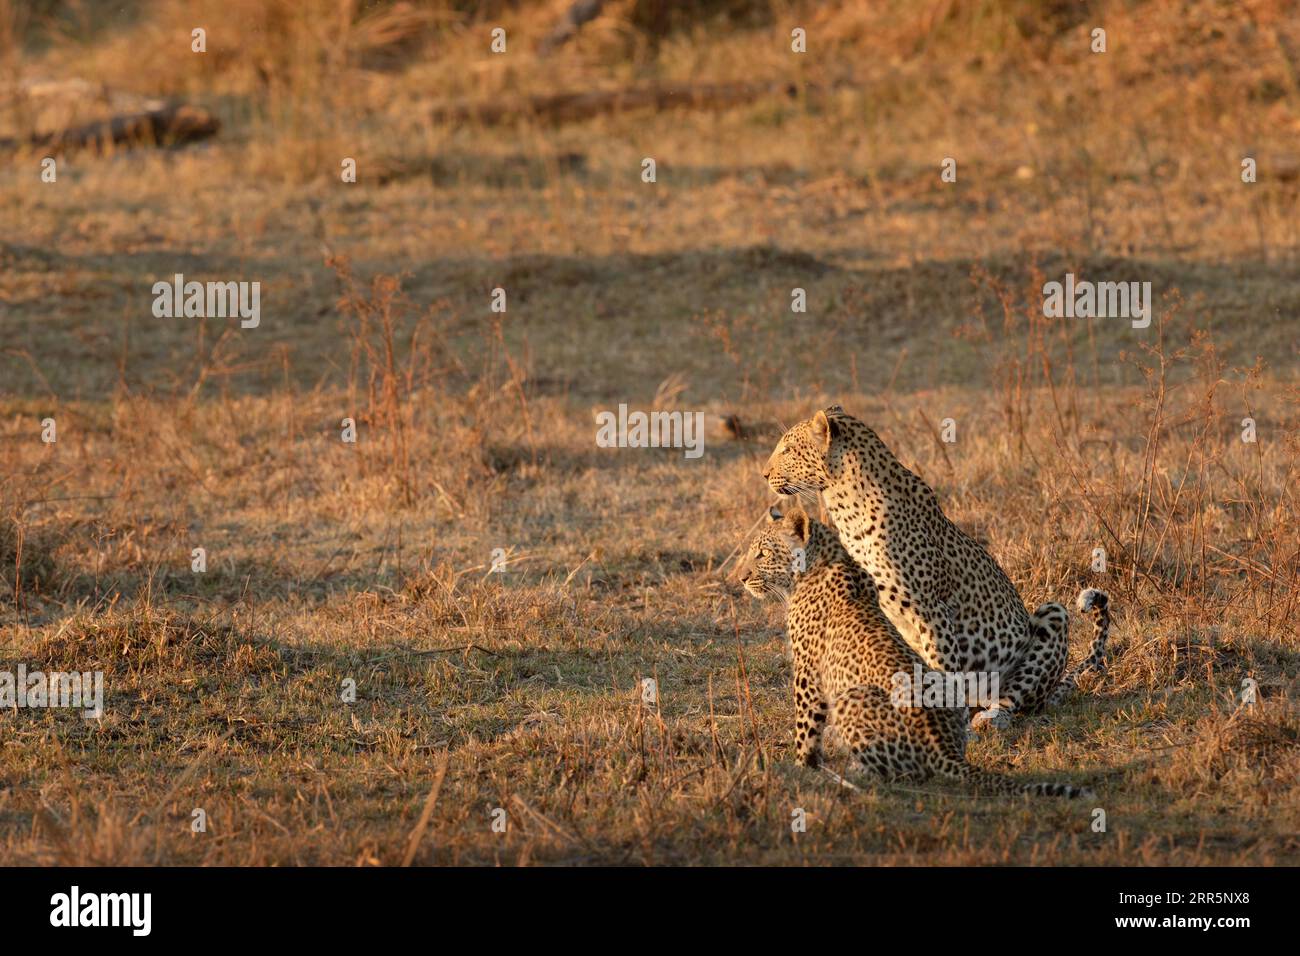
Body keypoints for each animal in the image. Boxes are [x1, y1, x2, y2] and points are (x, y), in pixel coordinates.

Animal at [740, 504, 1092, 798]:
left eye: (762, 553)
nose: (741, 578)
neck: (821, 561)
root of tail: (943, 747)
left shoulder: (807, 673)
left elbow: (806, 727)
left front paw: (800, 768)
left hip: (853, 697)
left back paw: (855, 772)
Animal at [762, 405, 1112, 730]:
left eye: (788, 450)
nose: (764, 474)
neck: (844, 505)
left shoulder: (932, 610)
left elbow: (943, 671)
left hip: (1053, 616)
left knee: (1014, 699)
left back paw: (990, 718)